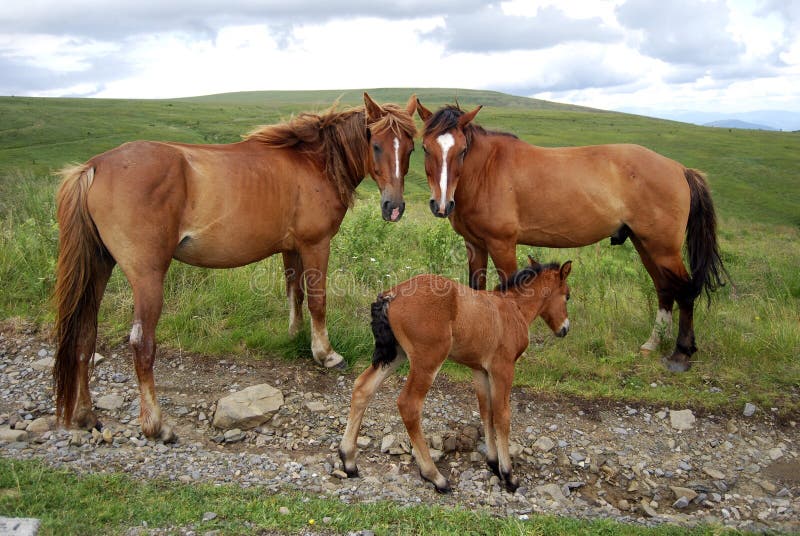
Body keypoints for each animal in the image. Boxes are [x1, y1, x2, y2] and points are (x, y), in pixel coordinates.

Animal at [53, 93, 418, 441]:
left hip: (99, 266)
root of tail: (95, 166)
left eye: (411, 148)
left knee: (84, 333)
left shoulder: (292, 248)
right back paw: (156, 426)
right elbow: (317, 299)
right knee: (142, 343)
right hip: (146, 276)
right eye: (376, 144)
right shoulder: (316, 245)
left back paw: (85, 415)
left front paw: (295, 335)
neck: (313, 162)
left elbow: (295, 293)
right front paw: (326, 354)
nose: (394, 207)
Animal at [339, 257, 572, 493]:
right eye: (567, 295)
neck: (514, 307)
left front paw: (493, 463)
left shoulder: (480, 370)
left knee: (363, 388)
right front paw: (509, 476)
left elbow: (486, 412)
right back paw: (434, 476)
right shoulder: (503, 368)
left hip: (397, 354)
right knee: (408, 404)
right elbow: (502, 416)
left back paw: (348, 461)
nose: (565, 329)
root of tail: (392, 294)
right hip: (428, 360)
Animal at [414, 100, 727, 372]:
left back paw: (681, 353)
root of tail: (680, 169)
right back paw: (652, 343)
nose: (441, 205)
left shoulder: (502, 244)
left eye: (462, 150)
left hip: (663, 248)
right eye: (425, 148)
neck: (487, 171)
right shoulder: (475, 245)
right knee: (664, 288)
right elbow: (476, 287)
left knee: (684, 290)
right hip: (646, 244)